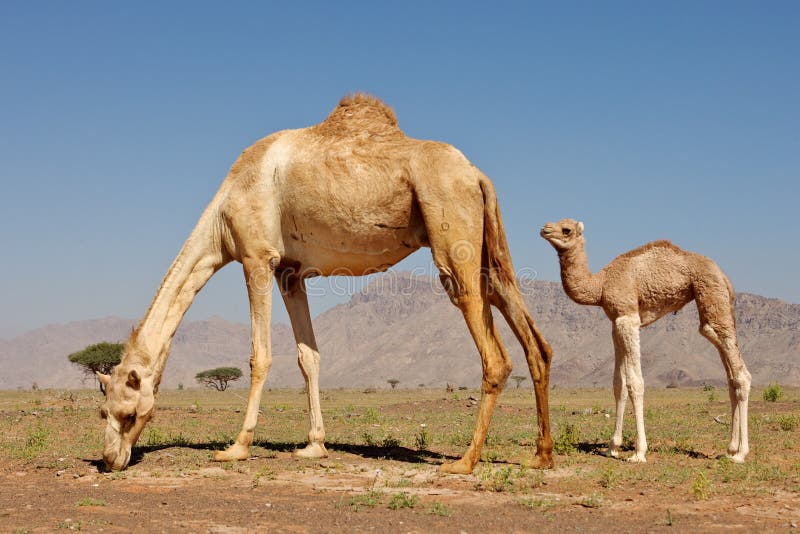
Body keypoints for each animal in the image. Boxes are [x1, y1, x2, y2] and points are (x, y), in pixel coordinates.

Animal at [95, 94, 555, 474]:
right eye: (103, 412)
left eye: (129, 413)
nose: (110, 460)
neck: (222, 217)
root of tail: (477, 174)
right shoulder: (289, 271)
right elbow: (308, 356)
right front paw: (314, 445)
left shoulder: (257, 257)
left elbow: (260, 356)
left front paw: (237, 447)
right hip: (488, 248)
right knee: (534, 339)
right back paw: (541, 455)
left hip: (452, 237)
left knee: (494, 354)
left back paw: (465, 461)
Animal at [540, 219, 750, 463]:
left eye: (566, 230)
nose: (544, 229)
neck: (601, 285)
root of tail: (724, 276)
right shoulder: (616, 323)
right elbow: (618, 384)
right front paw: (612, 447)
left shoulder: (628, 318)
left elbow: (635, 383)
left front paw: (639, 452)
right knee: (730, 375)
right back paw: (731, 449)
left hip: (711, 294)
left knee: (741, 374)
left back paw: (741, 453)